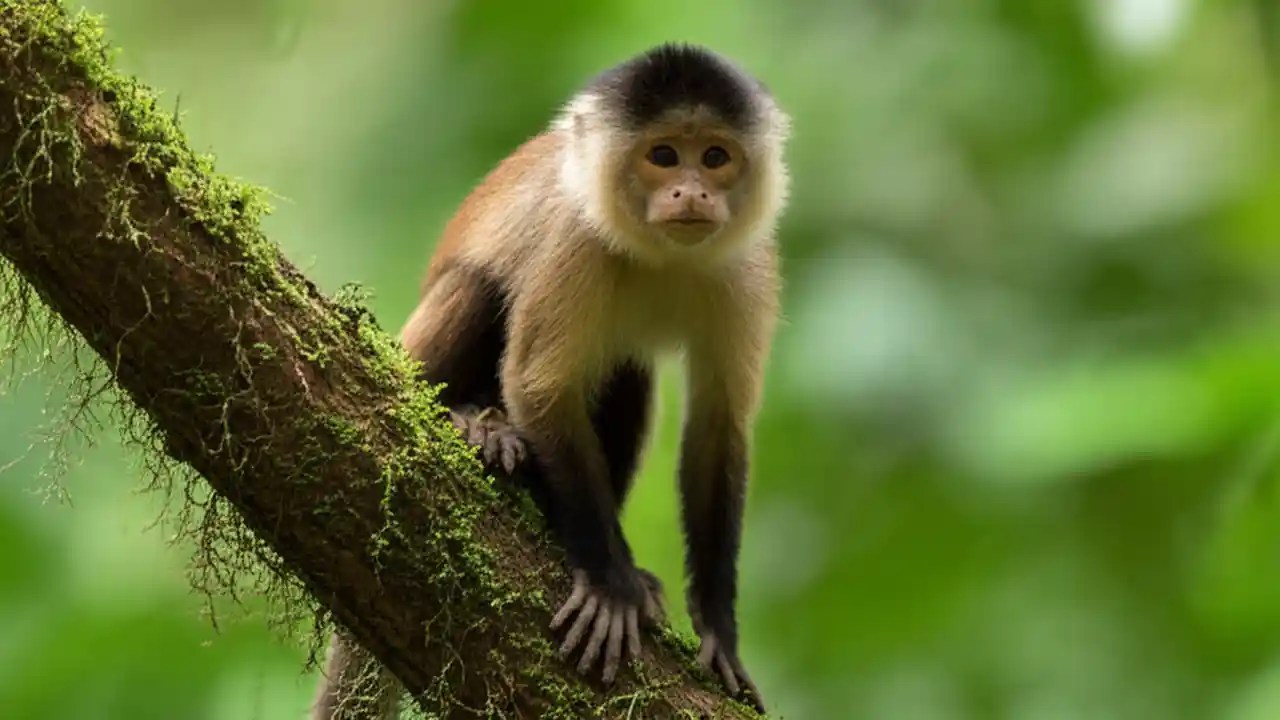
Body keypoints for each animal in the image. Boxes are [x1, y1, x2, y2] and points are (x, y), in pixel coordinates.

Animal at [313, 43, 789, 717]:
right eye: (664, 156)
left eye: (715, 158)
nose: (691, 192)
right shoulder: (576, 237)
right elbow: (538, 387)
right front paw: (610, 582)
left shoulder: (746, 264)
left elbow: (719, 428)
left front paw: (719, 629)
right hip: (407, 360)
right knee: (481, 288)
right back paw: (474, 426)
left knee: (627, 369)